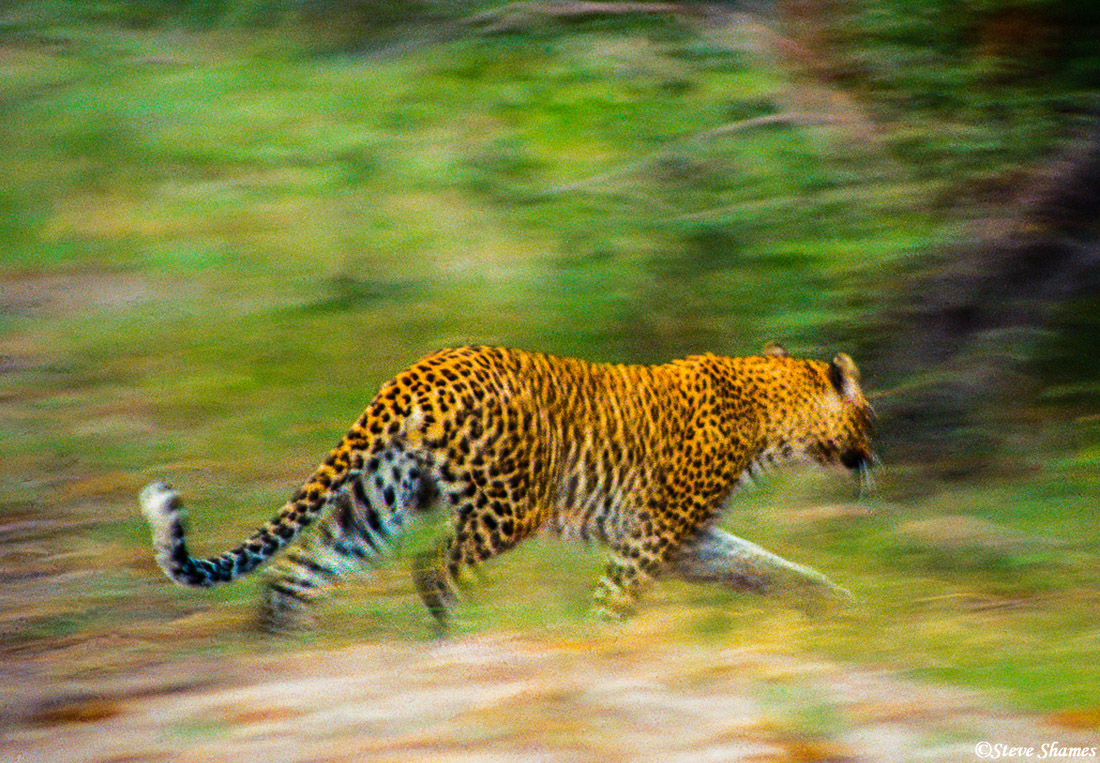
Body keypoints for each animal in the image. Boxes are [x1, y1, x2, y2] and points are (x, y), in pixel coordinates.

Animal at [139, 343, 874, 632]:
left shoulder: (685, 538)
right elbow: (620, 596)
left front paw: (837, 604)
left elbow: (768, 565)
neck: (768, 409)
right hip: (507, 509)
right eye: (868, 417)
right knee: (433, 567)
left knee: (295, 572)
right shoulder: (655, 535)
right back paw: (455, 636)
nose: (873, 457)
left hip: (378, 503)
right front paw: (601, 642)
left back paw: (288, 655)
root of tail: (418, 370)